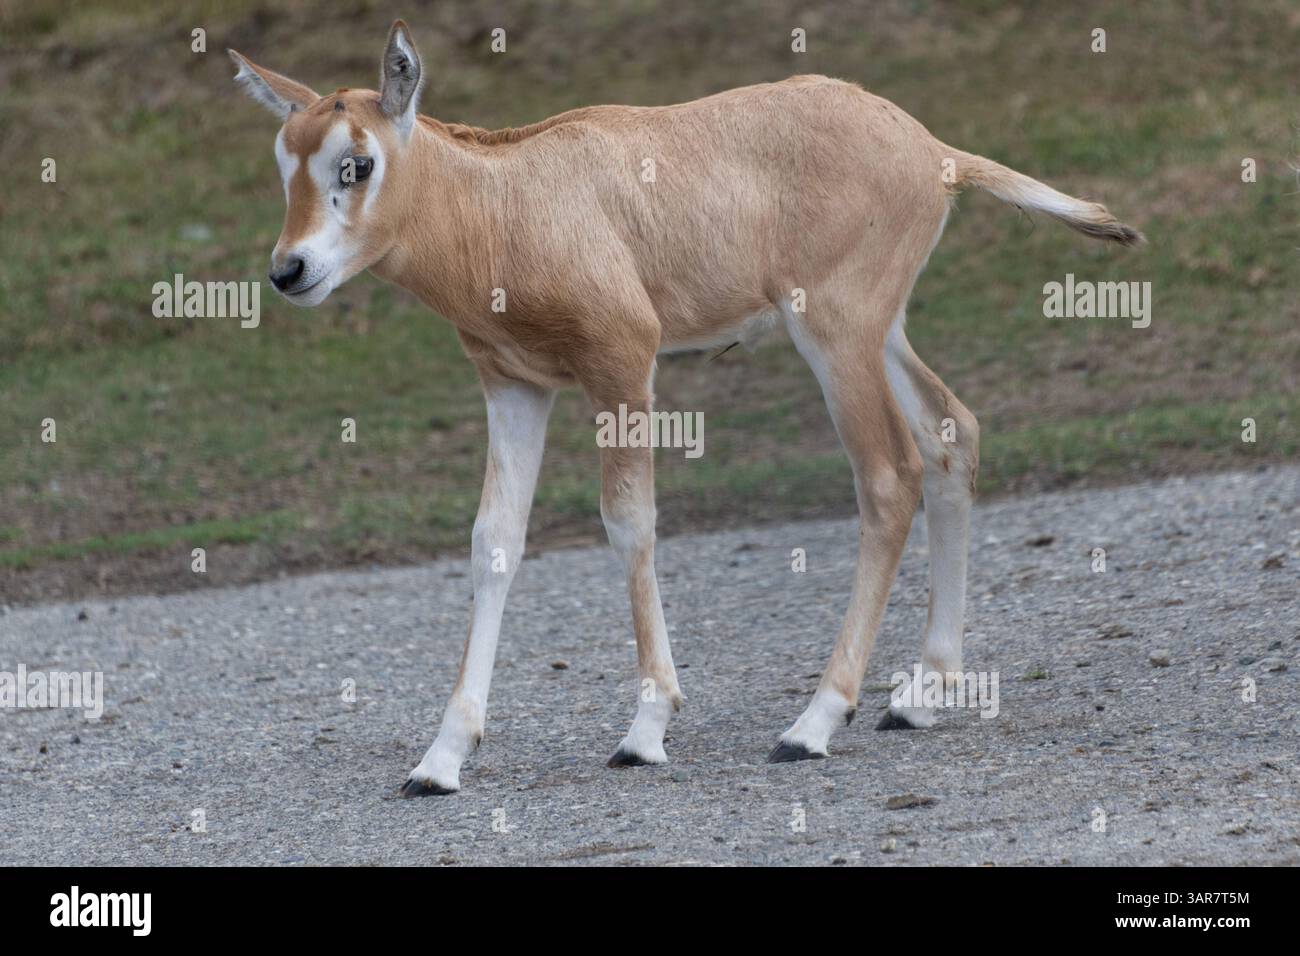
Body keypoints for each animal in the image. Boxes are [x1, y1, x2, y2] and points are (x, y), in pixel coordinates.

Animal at [229, 20, 1141, 796]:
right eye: (286, 164)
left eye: (357, 163)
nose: (290, 270)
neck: (507, 199)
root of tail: (933, 150)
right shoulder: (514, 384)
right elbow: (494, 542)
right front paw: (440, 760)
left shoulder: (623, 365)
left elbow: (629, 523)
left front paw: (644, 732)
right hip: (881, 330)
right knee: (954, 433)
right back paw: (919, 694)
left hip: (835, 331)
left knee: (889, 475)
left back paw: (814, 722)